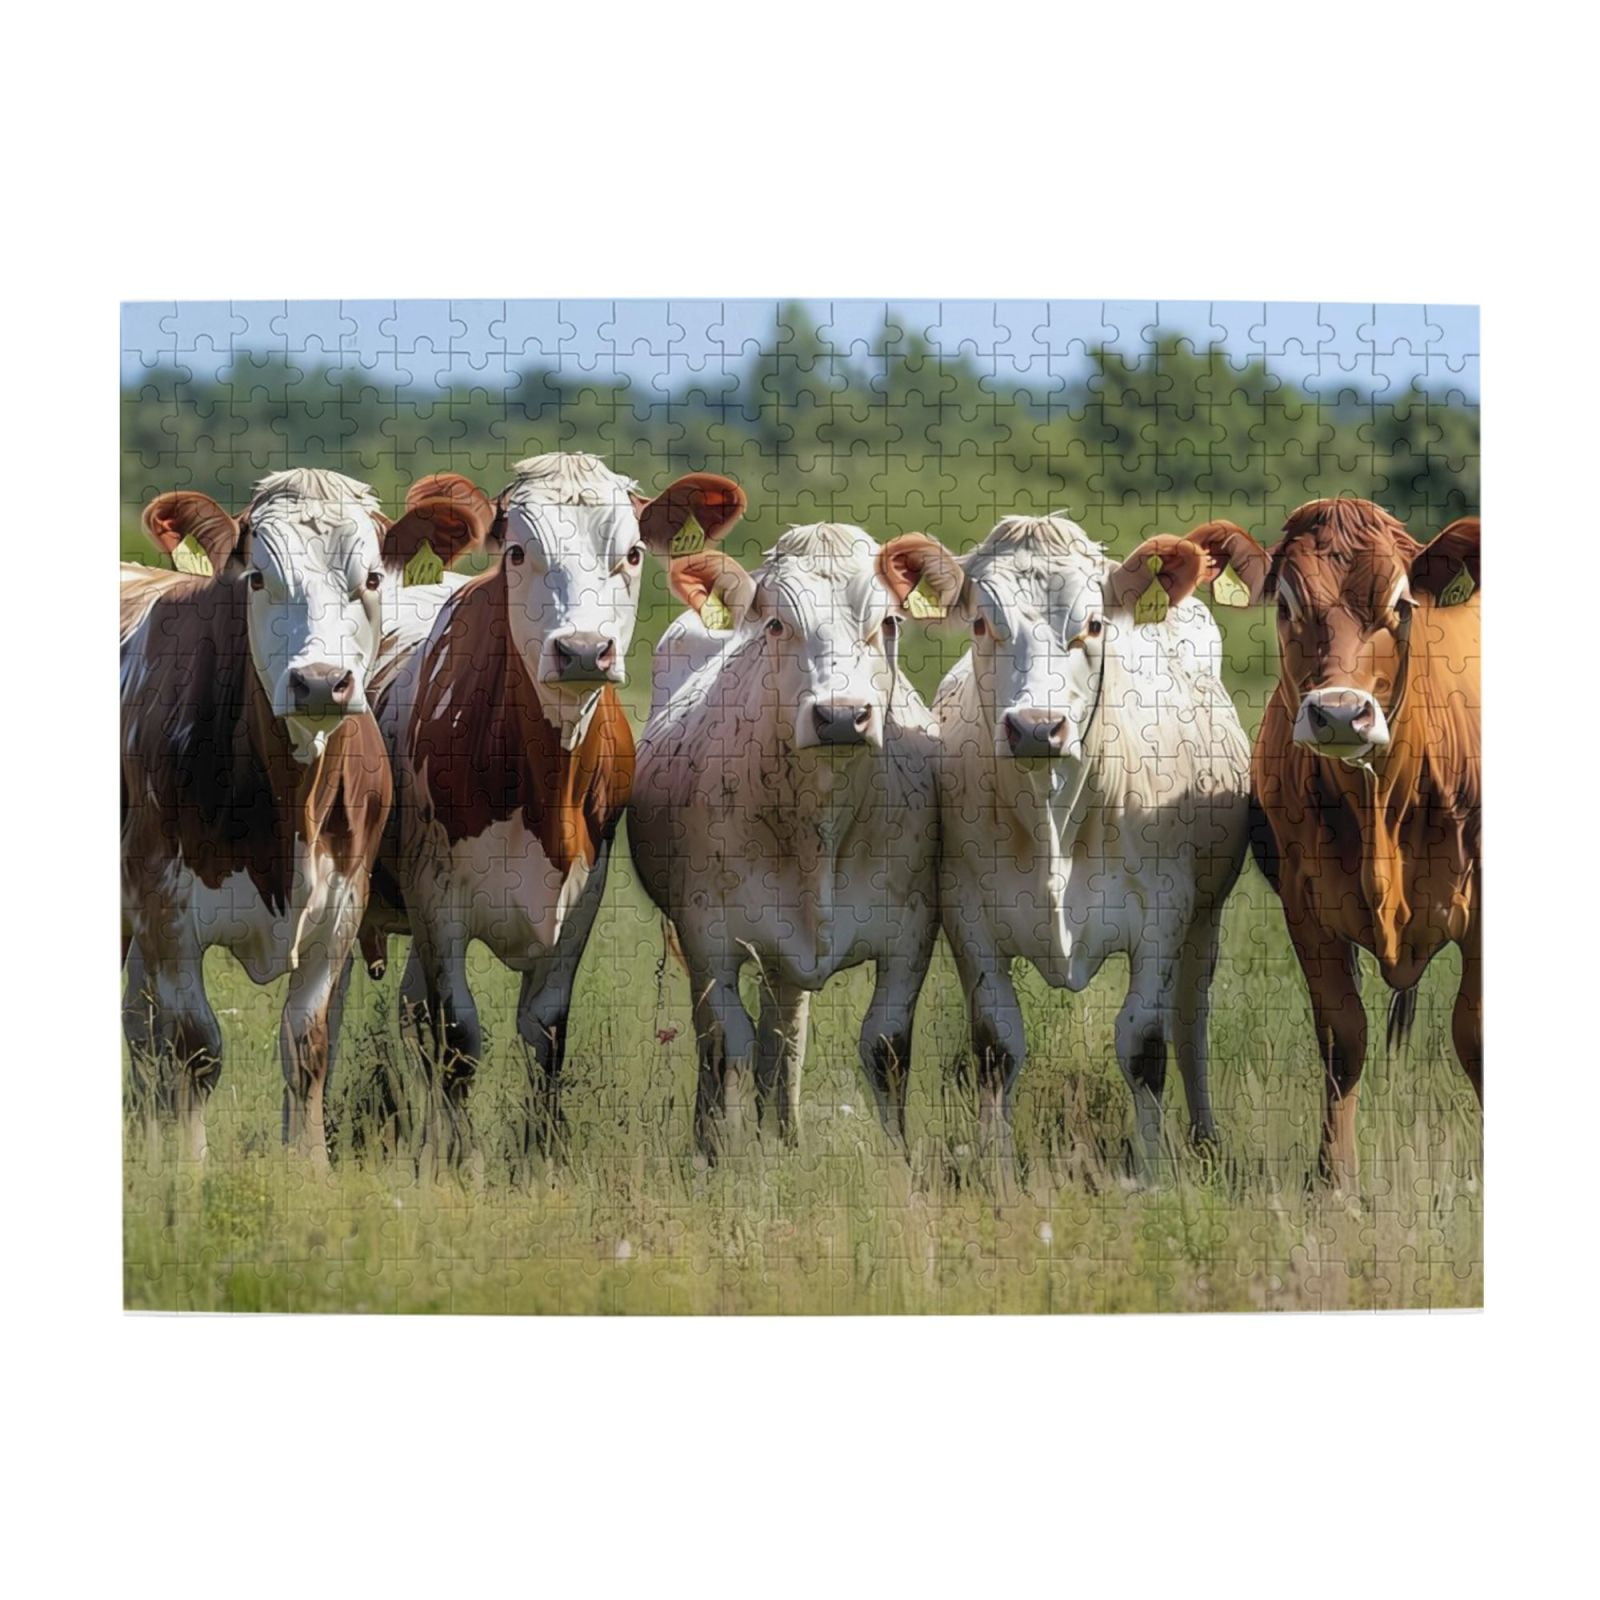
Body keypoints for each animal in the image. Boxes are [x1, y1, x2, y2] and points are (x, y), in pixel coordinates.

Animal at [120, 468, 490, 1164]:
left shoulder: (341, 911)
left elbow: (308, 1049)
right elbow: (194, 1050)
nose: (320, 681)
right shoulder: (167, 913)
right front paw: (187, 1170)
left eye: (371, 578)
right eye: (258, 578)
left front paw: (310, 1170)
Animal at [368, 453, 747, 1164]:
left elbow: (544, 1034)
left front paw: (537, 1155)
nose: (582, 649)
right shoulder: (437, 902)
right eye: (518, 551)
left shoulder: (581, 899)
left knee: (410, 1012)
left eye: (632, 553)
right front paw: (462, 1160)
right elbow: (458, 1036)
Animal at [630, 523, 966, 1156]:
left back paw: (787, 1135)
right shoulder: (709, 938)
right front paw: (720, 1155)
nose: (840, 716)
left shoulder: (912, 934)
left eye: (888, 622)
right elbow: (725, 1045)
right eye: (776, 625)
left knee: (786, 1034)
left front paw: (898, 1159)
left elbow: (884, 1048)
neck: (820, 830)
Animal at [931, 514, 1252, 1175]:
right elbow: (996, 1046)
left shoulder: (1165, 912)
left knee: (1191, 1021)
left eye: (1094, 624)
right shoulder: (965, 914)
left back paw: (1205, 1136)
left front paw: (1152, 1172)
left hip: (1206, 918)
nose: (1035, 727)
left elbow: (1145, 1045)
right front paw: (996, 1172)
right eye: (981, 622)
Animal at [1186, 499, 1481, 1188]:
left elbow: (1474, 1036)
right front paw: (1334, 1180)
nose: (1342, 713)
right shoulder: (1306, 908)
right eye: (1287, 605)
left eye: (1401, 605)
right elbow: (1341, 1036)